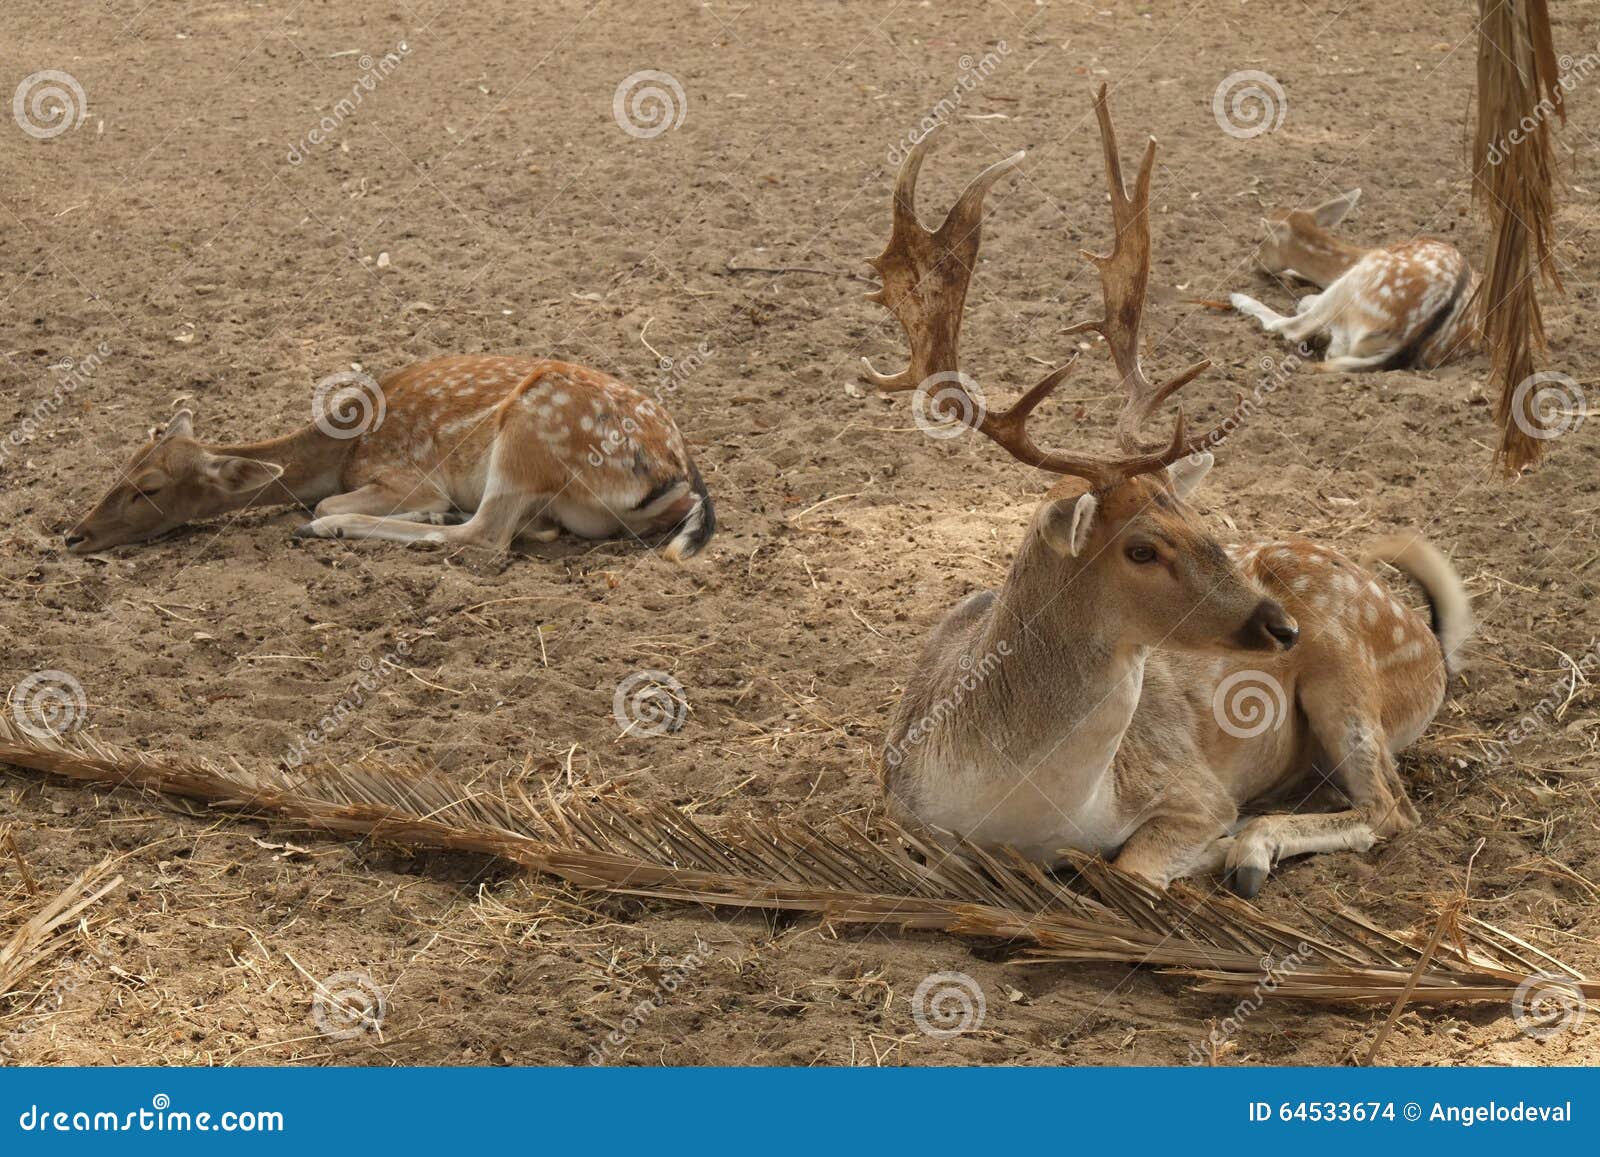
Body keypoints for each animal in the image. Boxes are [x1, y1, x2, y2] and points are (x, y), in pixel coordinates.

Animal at [63, 355, 715, 561]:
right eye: (118, 471)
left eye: (148, 487)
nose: (74, 535)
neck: (344, 446)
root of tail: (675, 477)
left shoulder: (408, 472)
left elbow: (330, 499)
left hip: (530, 427)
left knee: (485, 535)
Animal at [1229, 189, 1481, 372]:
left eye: (1258, 240)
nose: (1247, 264)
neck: (1353, 256)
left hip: (1362, 277)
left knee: (1293, 328)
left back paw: (1239, 299)